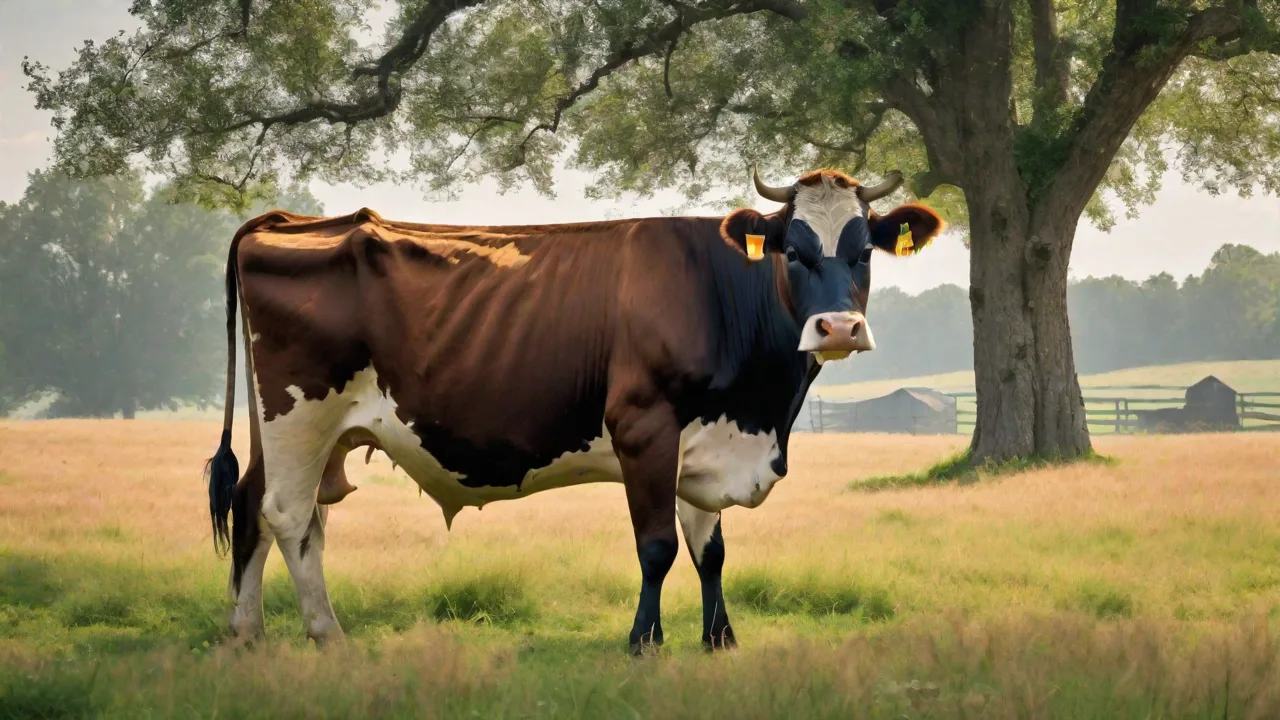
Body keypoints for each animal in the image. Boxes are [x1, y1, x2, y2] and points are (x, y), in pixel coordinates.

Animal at [204, 167, 943, 654]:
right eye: (792, 250)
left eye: (864, 251)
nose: (839, 328)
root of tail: (288, 223)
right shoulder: (646, 427)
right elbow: (657, 546)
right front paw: (644, 642)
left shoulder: (705, 438)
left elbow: (710, 549)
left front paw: (720, 640)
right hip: (300, 414)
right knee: (290, 516)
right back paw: (327, 635)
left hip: (293, 429)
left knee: (254, 506)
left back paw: (246, 633)